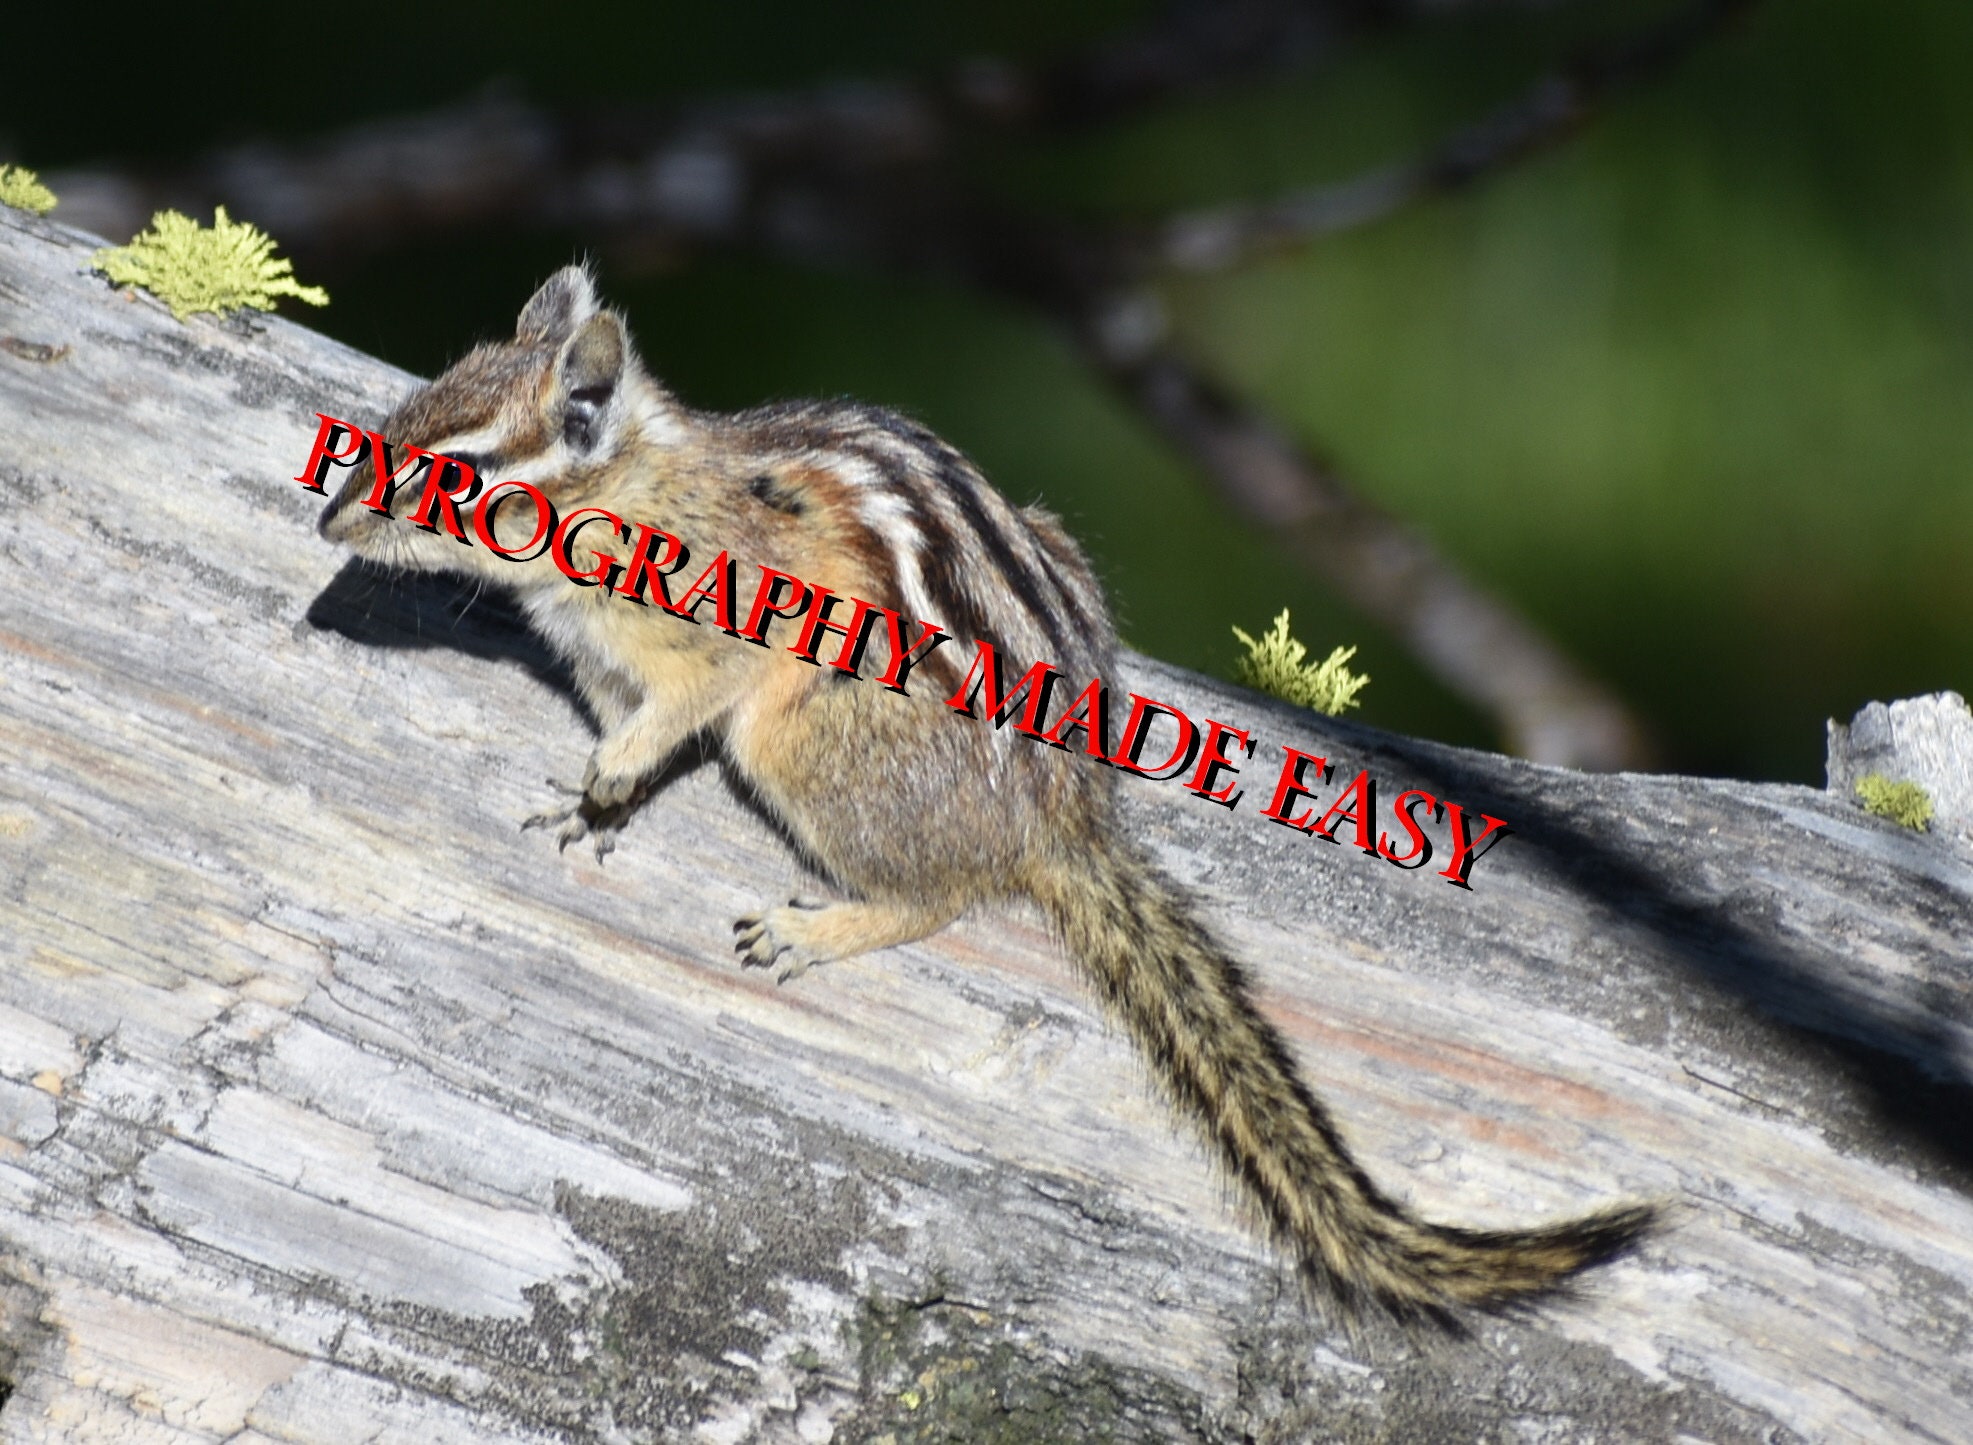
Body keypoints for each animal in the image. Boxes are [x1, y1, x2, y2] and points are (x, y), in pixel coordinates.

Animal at [317, 264, 1656, 1325]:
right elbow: (619, 732)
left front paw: (608, 786)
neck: (631, 493)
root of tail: (1063, 816)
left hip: (807, 738)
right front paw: (588, 801)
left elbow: (674, 713)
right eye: (400, 411)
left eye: (448, 471)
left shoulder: (708, 638)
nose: (326, 514)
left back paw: (818, 925)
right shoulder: (601, 659)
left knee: (936, 894)